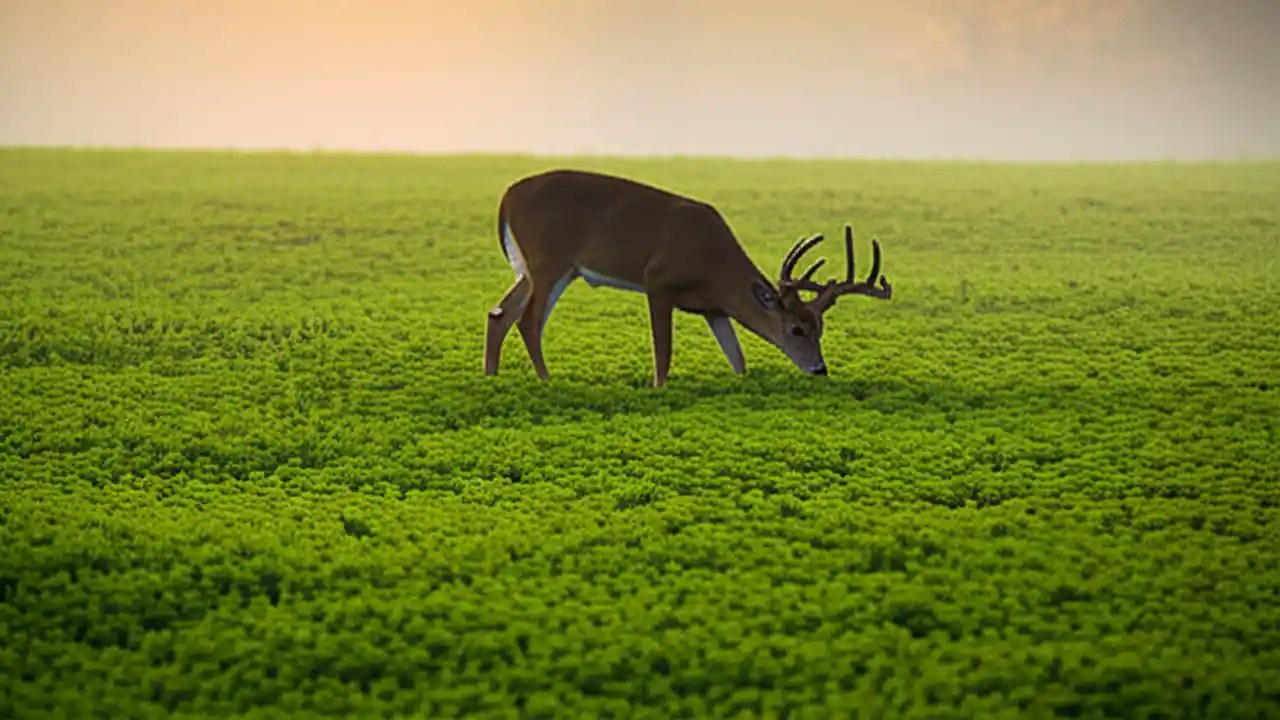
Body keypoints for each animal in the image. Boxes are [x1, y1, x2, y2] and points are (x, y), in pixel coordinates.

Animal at [483, 169, 893, 387]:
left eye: (820, 328)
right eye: (796, 329)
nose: (819, 369)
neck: (714, 267)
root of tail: (505, 196)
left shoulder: (715, 309)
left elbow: (737, 358)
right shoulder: (658, 282)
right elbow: (663, 351)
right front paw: (658, 389)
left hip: (538, 269)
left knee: (499, 314)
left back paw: (492, 378)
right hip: (549, 262)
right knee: (527, 320)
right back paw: (547, 381)